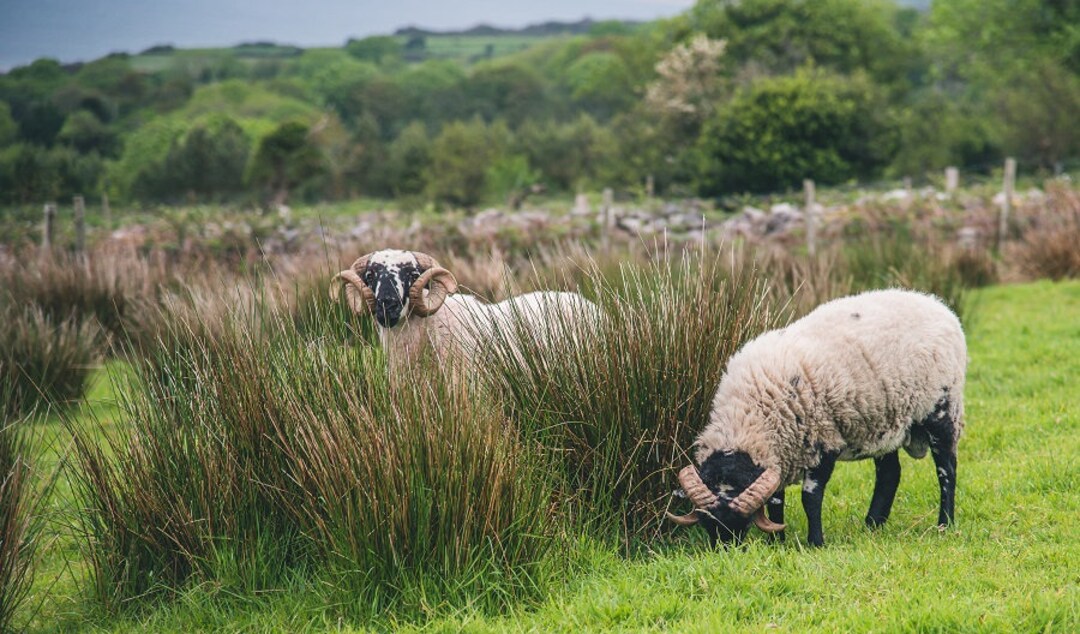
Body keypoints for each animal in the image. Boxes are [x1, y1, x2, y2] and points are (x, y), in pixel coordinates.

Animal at [667, 289, 967, 547]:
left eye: (743, 520)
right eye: (706, 521)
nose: (725, 548)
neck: (749, 414)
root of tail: (939, 306)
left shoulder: (824, 441)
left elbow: (810, 497)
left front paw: (815, 542)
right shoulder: (781, 453)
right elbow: (777, 501)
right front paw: (777, 542)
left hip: (942, 407)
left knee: (947, 469)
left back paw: (944, 523)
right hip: (884, 421)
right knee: (890, 473)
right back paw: (872, 525)